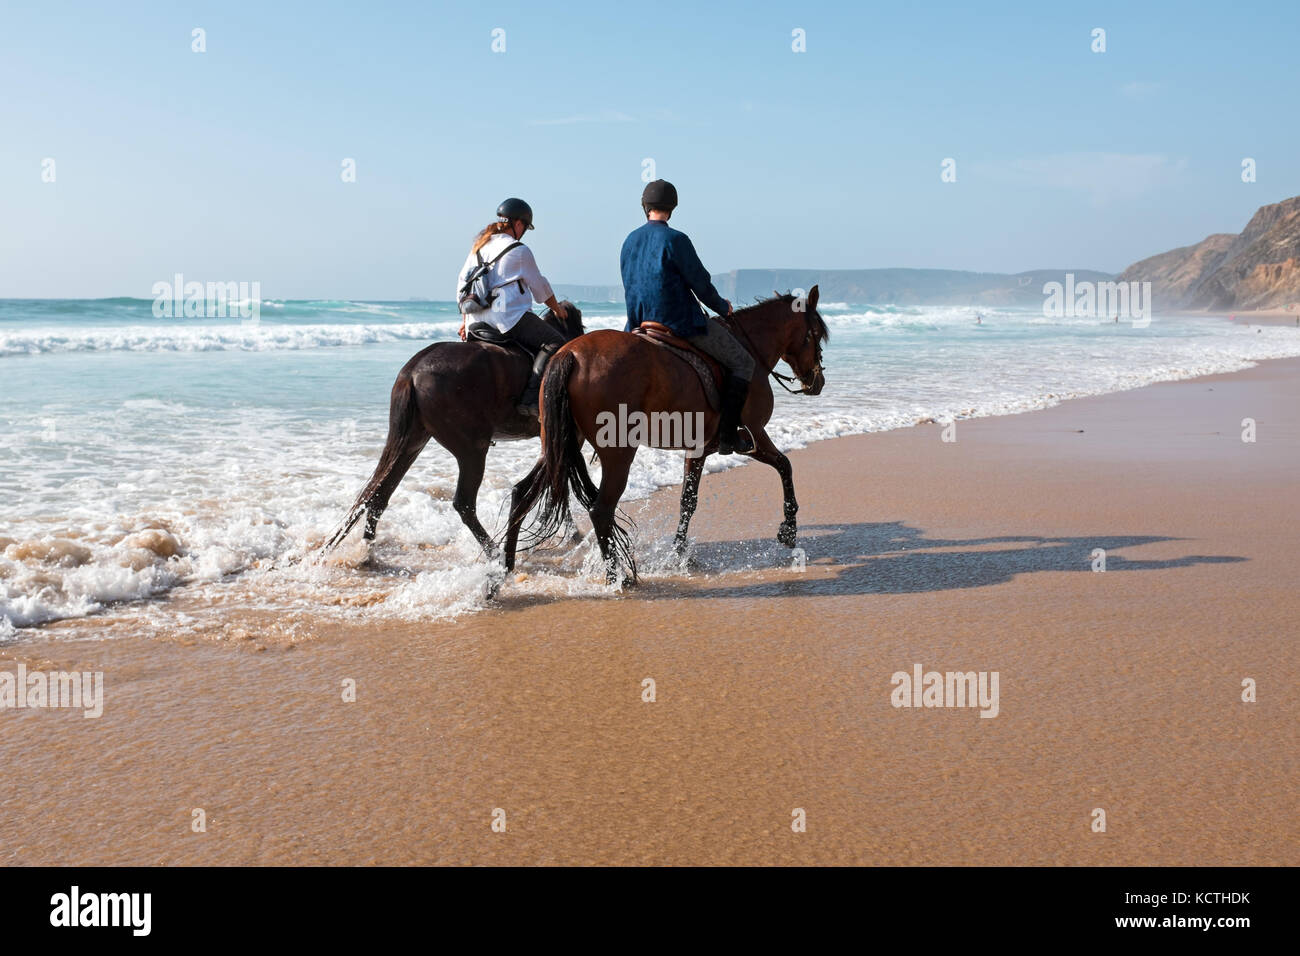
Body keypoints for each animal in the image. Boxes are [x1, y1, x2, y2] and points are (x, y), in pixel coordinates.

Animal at [322, 304, 584, 556]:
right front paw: (573, 532)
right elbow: (561, 478)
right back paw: (493, 552)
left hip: (411, 443)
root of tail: (412, 371)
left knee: (379, 494)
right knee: (464, 503)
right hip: (472, 450)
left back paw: (367, 550)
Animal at [501, 286, 827, 584]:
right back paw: (618, 578)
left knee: (522, 493)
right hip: (618, 452)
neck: (751, 349)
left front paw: (679, 555)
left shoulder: (699, 448)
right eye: (816, 334)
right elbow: (785, 465)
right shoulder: (754, 435)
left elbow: (688, 500)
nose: (817, 382)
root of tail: (570, 353)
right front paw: (789, 529)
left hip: (560, 444)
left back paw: (504, 568)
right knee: (601, 510)